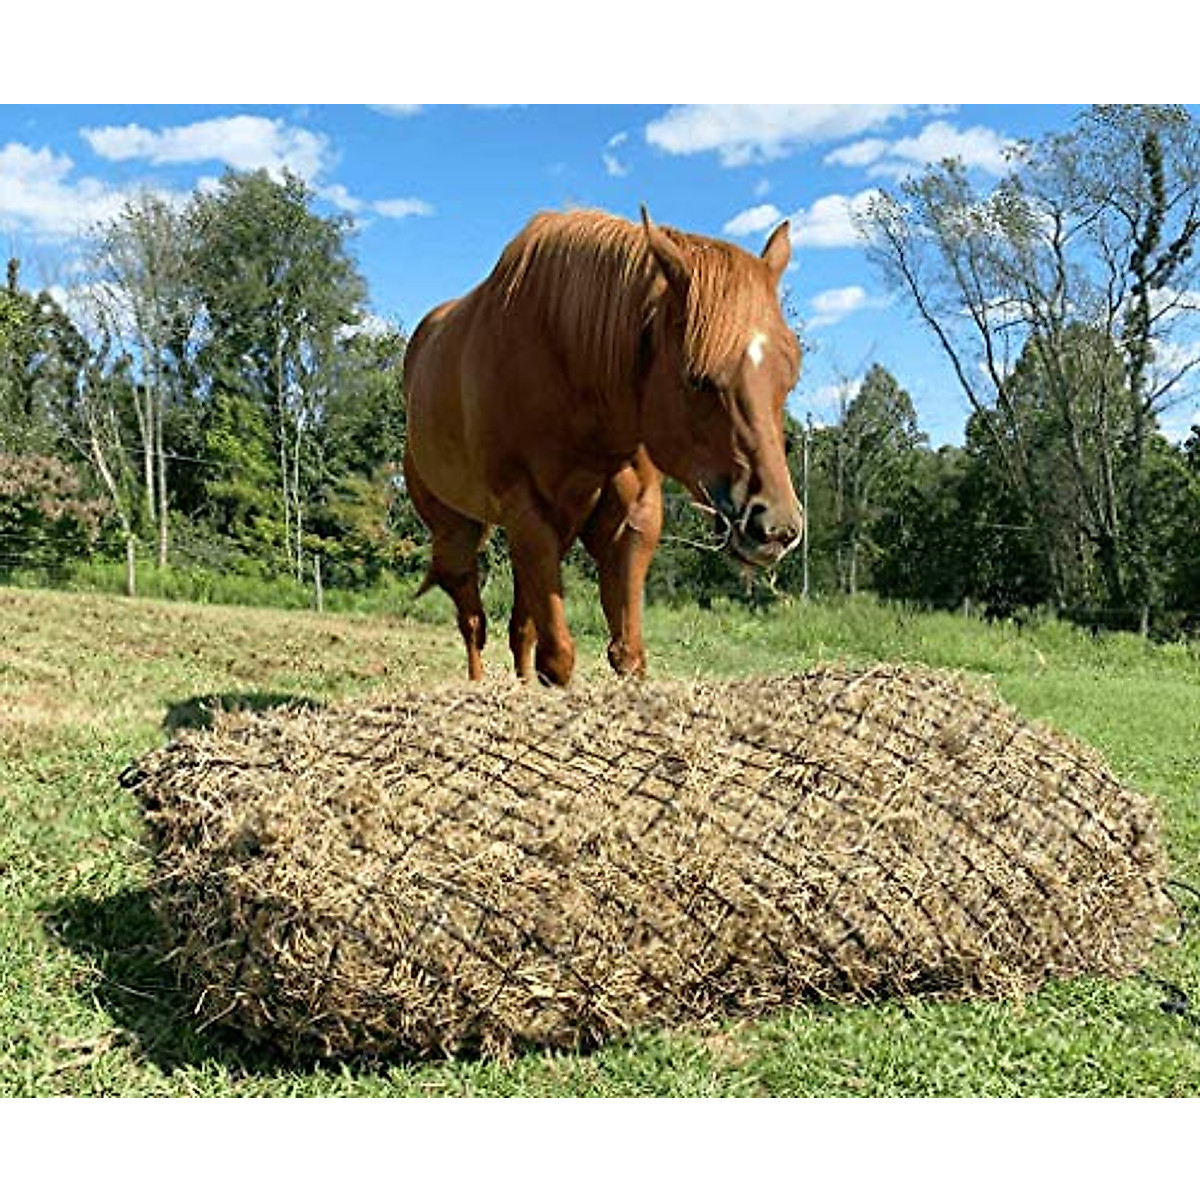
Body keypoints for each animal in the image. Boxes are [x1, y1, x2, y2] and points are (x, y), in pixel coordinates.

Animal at [402, 205, 804, 686]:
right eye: (696, 378)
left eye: (790, 377)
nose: (776, 527)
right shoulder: (527, 513)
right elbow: (558, 659)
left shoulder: (631, 517)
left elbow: (626, 652)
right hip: (457, 532)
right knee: (472, 620)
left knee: (519, 628)